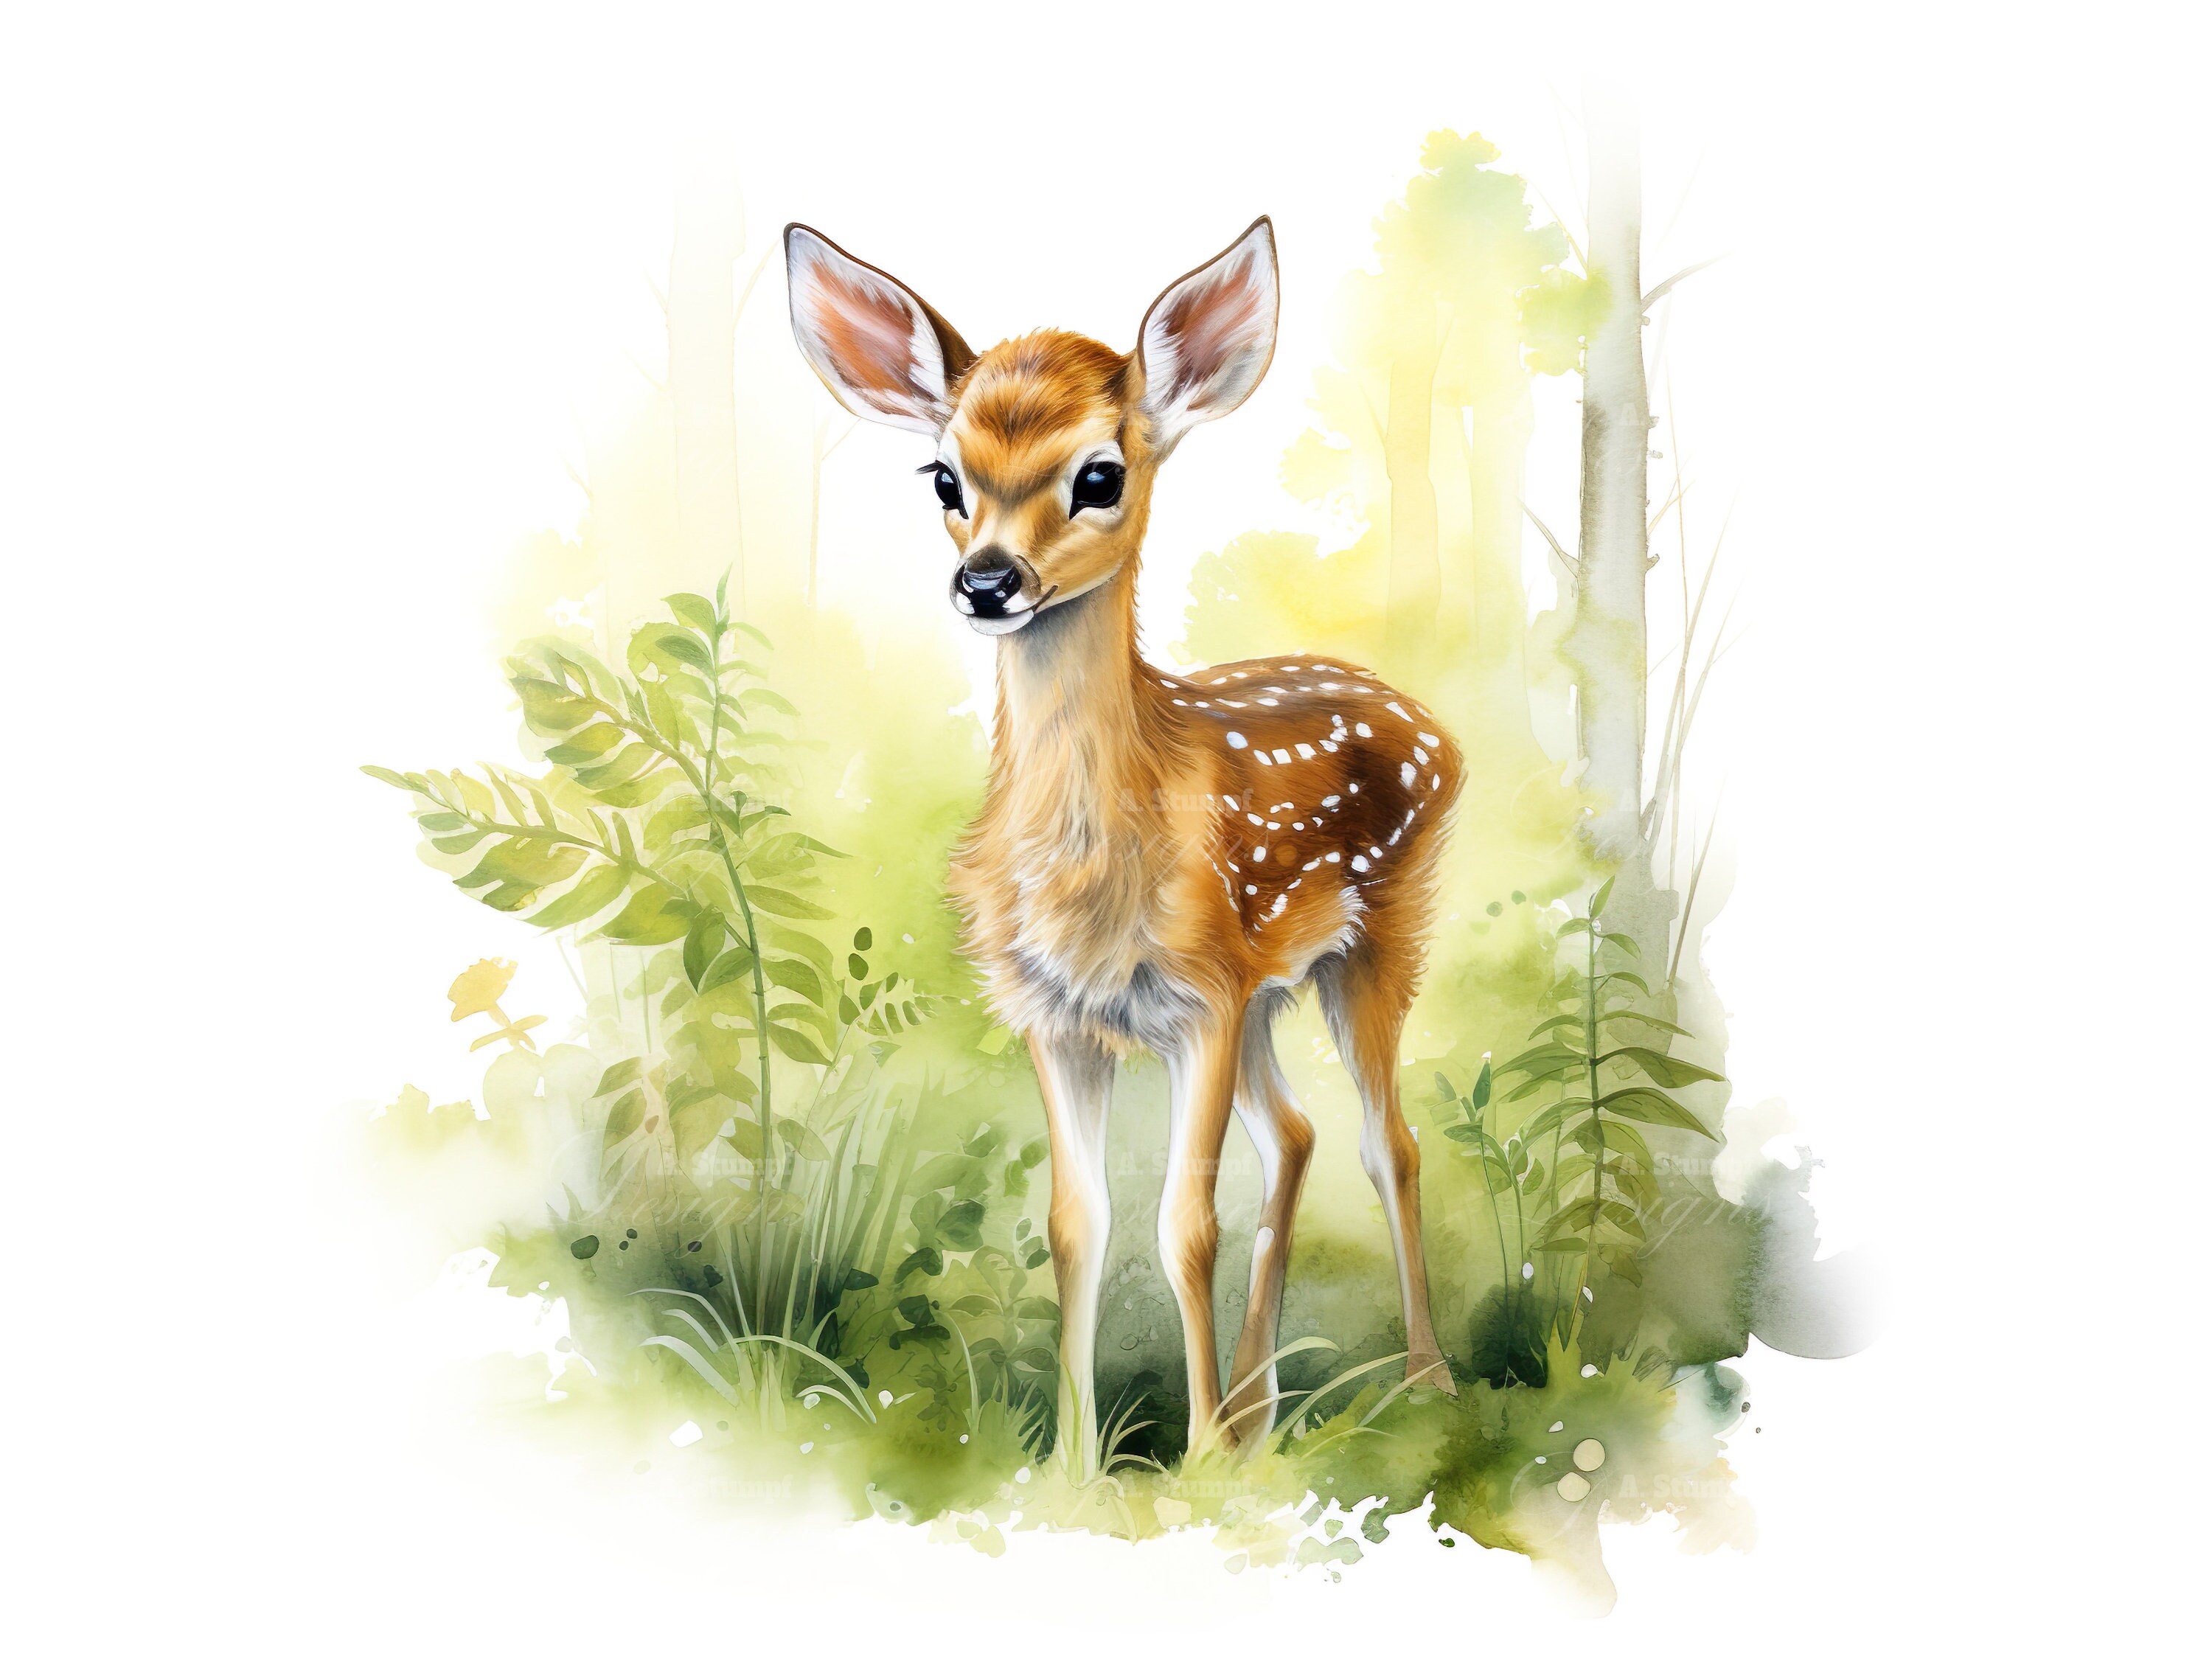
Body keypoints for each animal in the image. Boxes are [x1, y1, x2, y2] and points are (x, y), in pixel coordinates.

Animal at [784, 217, 1463, 1471]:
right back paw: (1258, 1406)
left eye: (1099, 475)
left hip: (1379, 932)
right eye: (944, 476)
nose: (987, 581)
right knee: (1294, 1133)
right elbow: (1076, 1222)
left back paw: (1421, 1382)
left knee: (1386, 1141)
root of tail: (1432, 724)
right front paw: (1077, 1463)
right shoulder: (1060, 1016)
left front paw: (1194, 1463)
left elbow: (1184, 1222)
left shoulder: (1197, 997)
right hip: (1264, 990)